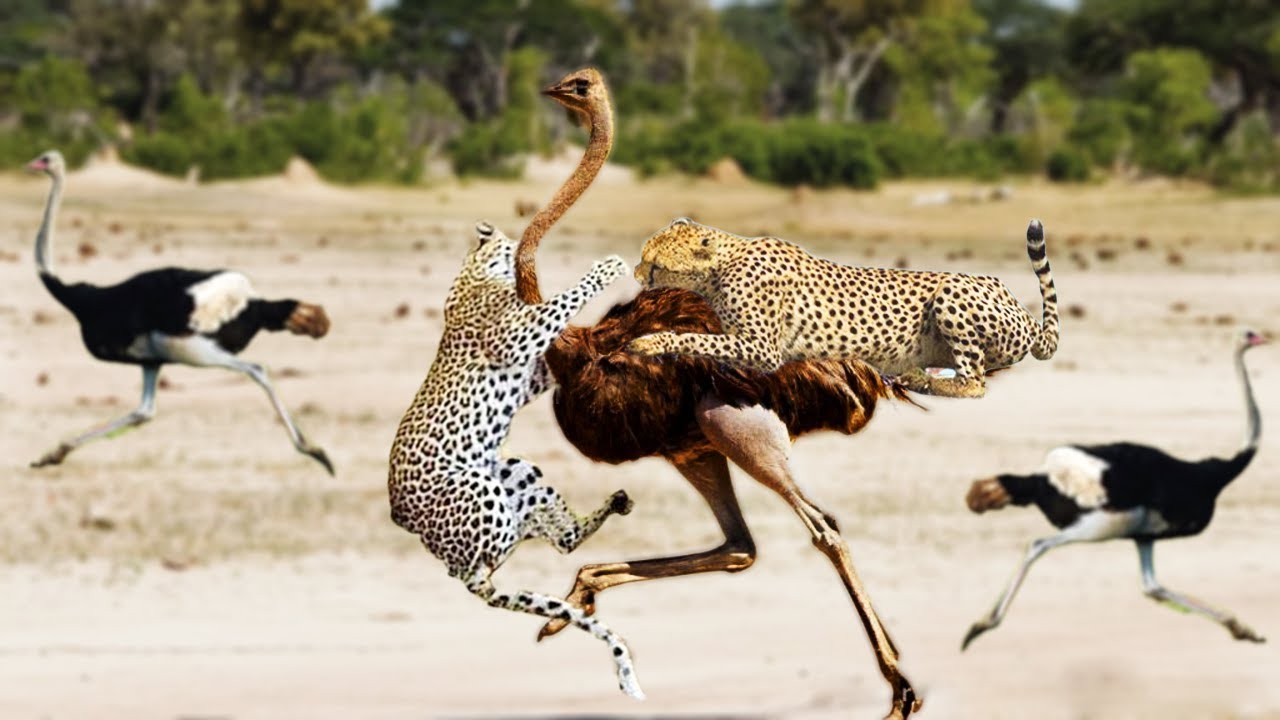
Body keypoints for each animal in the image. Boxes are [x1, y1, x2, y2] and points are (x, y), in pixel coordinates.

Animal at [387, 220, 643, 699]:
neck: (475, 270)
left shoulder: (531, 371)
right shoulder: (514, 337)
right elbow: (560, 301)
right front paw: (606, 269)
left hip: (515, 468)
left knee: (562, 539)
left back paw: (613, 505)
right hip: (477, 486)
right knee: (493, 555)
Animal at [628, 217, 1058, 398]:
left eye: (654, 265)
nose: (635, 273)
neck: (726, 261)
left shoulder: (763, 349)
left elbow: (694, 339)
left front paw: (649, 343)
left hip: (954, 290)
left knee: (976, 383)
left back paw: (928, 383)